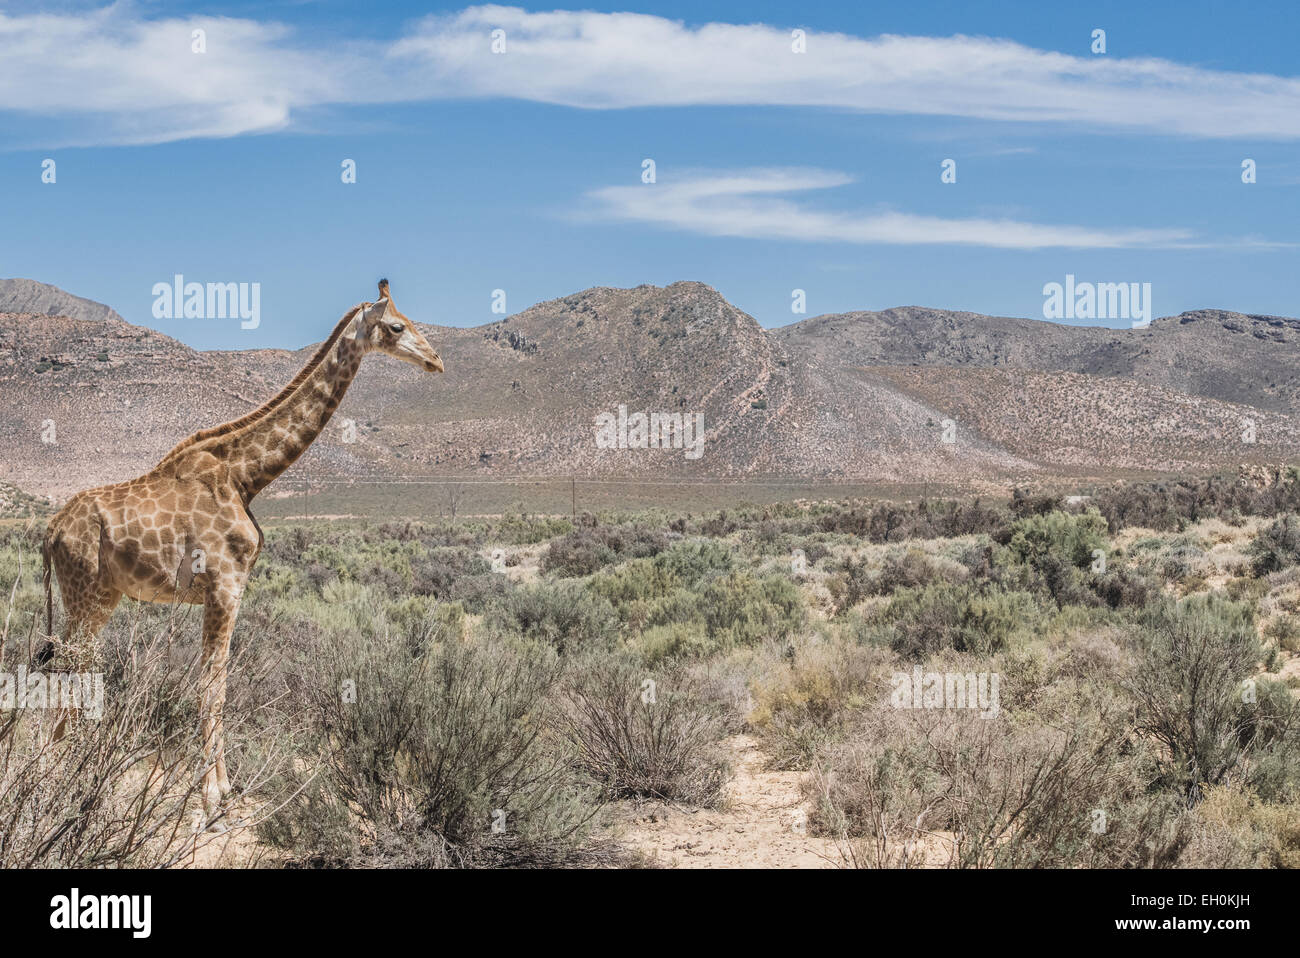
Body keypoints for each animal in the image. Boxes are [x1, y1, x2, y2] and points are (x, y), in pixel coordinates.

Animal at [39, 280, 443, 823]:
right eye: (397, 326)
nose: (436, 360)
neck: (248, 477)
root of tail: (50, 530)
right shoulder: (224, 587)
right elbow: (214, 687)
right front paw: (211, 797)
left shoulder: (231, 590)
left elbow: (218, 685)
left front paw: (225, 789)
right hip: (82, 592)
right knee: (69, 667)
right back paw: (63, 770)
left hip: (103, 597)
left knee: (74, 666)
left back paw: (67, 763)